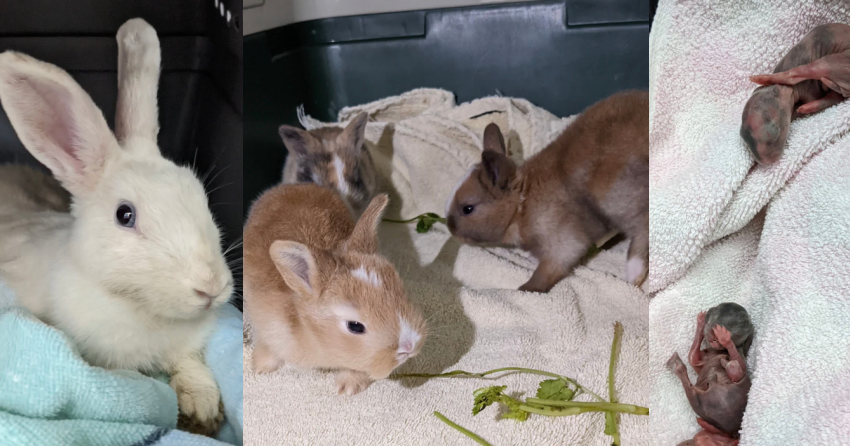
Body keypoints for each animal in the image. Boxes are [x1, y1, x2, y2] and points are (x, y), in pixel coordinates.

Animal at [0, 19, 232, 434]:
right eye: (125, 215)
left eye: (200, 196)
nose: (211, 288)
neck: (138, 305)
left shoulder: (188, 347)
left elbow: (190, 366)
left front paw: (202, 410)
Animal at [243, 183, 426, 396]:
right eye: (355, 326)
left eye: (401, 291)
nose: (409, 346)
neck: (310, 332)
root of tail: (294, 186)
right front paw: (261, 367)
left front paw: (348, 387)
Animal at [445, 90, 649, 293]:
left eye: (468, 209)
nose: (451, 230)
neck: (520, 204)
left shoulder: (560, 239)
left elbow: (550, 267)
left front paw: (526, 289)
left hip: (615, 196)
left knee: (642, 228)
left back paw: (633, 275)